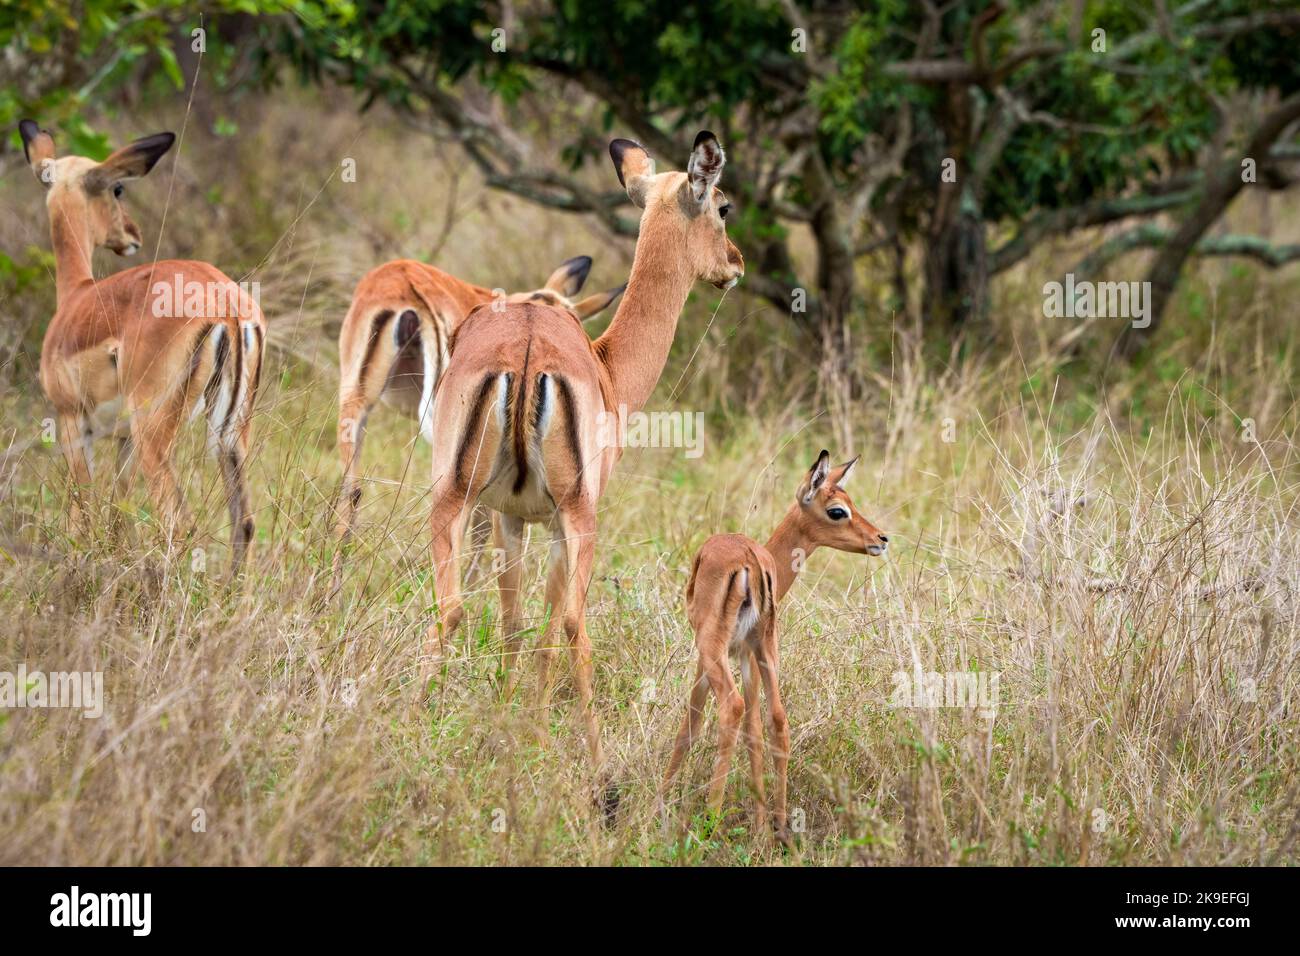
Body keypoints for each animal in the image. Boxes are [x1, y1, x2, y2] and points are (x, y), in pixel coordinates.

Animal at [18, 120, 265, 574]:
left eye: (119, 187)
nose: (132, 235)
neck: (78, 296)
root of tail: (225, 303)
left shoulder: (71, 421)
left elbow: (82, 511)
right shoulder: (123, 439)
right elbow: (117, 513)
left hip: (155, 430)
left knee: (178, 523)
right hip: (230, 434)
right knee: (245, 523)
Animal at [421, 131, 744, 782]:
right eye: (722, 206)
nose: (737, 263)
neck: (608, 367)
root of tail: (523, 351)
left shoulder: (511, 515)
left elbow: (513, 621)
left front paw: (506, 729)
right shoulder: (555, 520)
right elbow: (548, 621)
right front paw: (535, 735)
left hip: (453, 499)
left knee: (451, 609)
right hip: (579, 517)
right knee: (574, 624)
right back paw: (600, 771)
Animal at [660, 450, 889, 843]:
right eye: (839, 509)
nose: (881, 538)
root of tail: (750, 559)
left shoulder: (711, 656)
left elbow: (690, 723)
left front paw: (658, 803)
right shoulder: (749, 656)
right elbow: (756, 730)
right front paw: (761, 826)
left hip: (715, 647)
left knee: (732, 708)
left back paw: (710, 820)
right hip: (765, 646)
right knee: (778, 719)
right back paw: (780, 826)